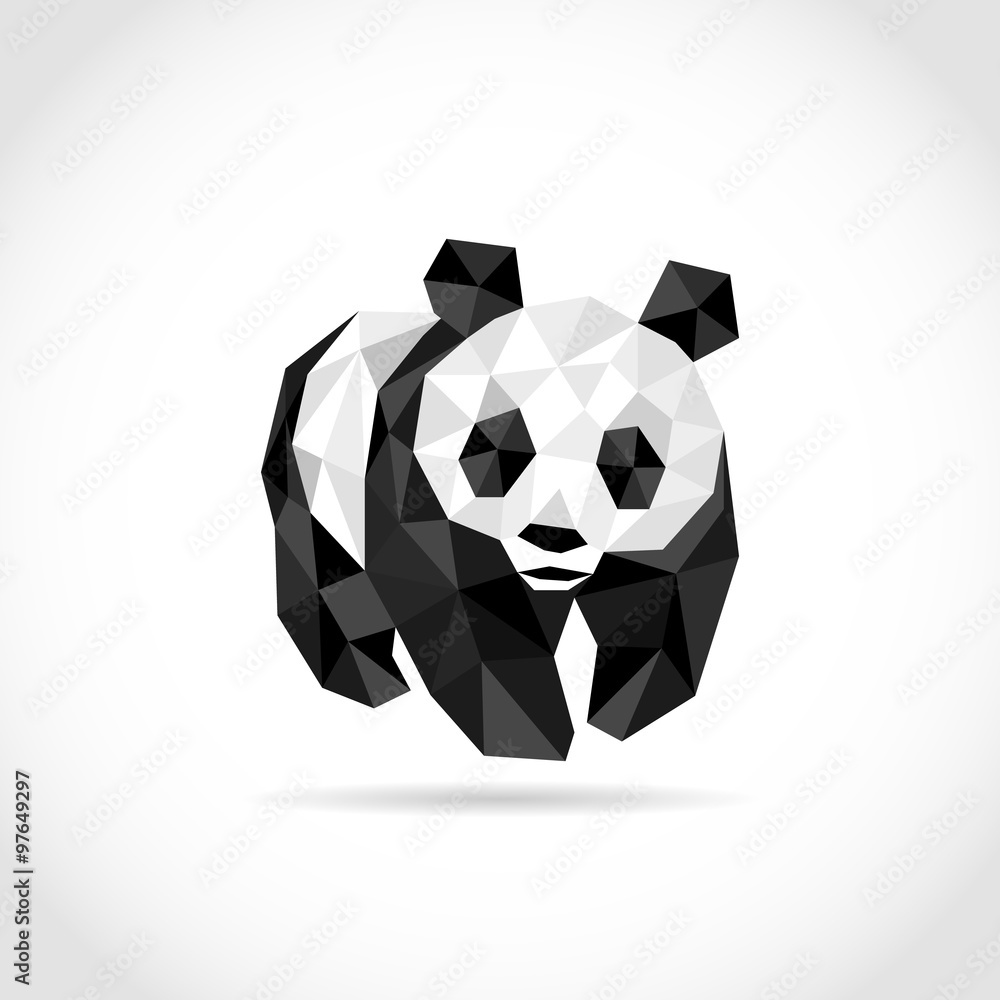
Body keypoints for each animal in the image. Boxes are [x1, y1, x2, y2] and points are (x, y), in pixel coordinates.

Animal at [262, 240, 739, 760]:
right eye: (493, 447)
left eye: (631, 462)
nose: (553, 537)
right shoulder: (421, 508)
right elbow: (474, 623)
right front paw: (534, 736)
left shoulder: (686, 522)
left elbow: (667, 603)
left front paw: (619, 710)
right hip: (304, 485)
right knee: (328, 583)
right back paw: (373, 682)